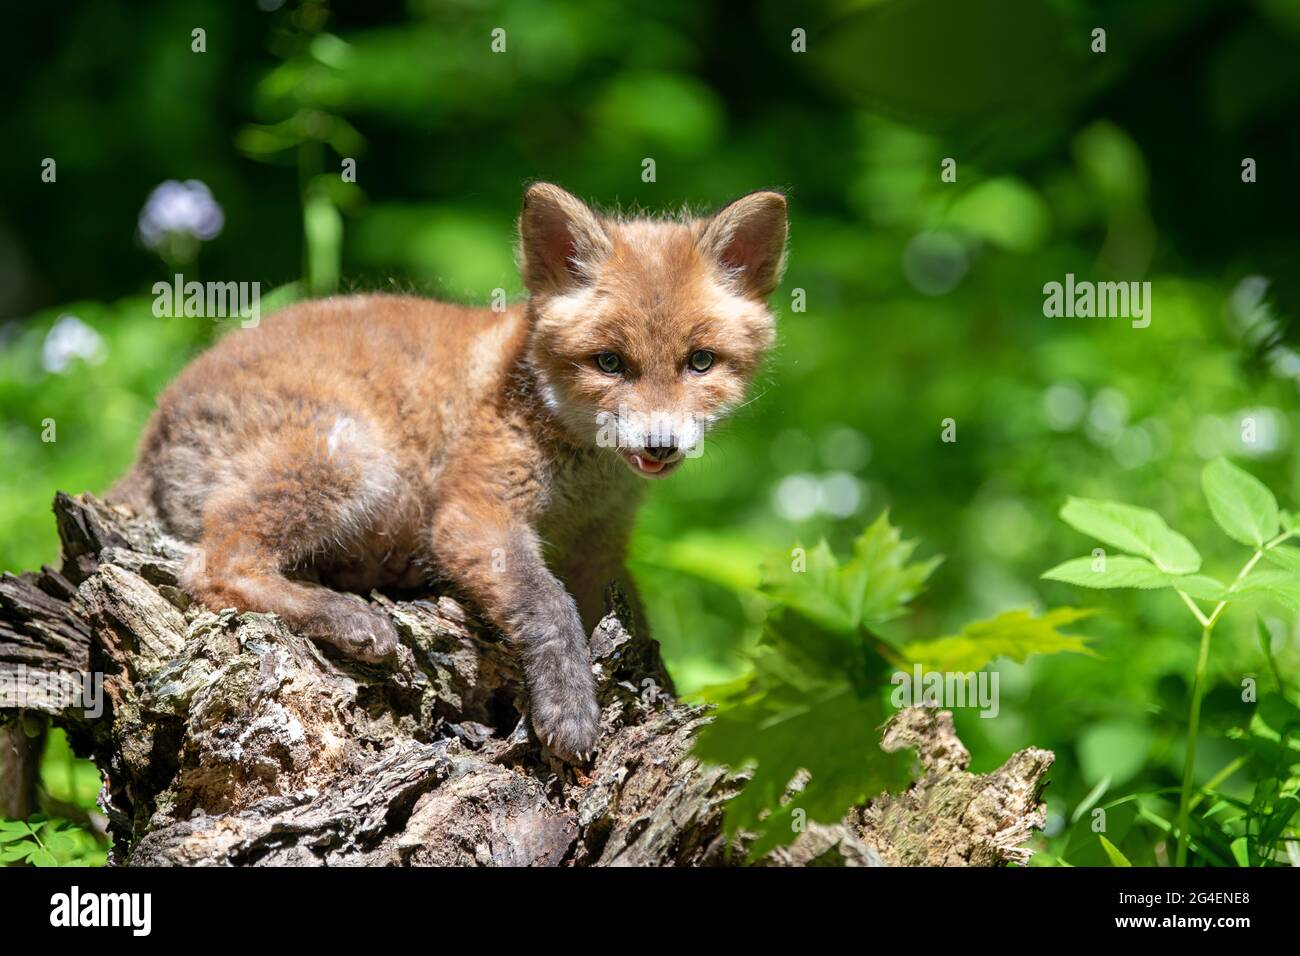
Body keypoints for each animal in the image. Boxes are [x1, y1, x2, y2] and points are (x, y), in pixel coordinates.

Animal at [109, 182, 788, 761]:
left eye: (700, 362)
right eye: (609, 363)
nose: (660, 444)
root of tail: (155, 422)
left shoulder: (598, 547)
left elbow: (631, 626)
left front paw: (663, 696)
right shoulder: (473, 514)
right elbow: (549, 606)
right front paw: (568, 707)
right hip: (354, 461)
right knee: (209, 567)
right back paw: (350, 618)